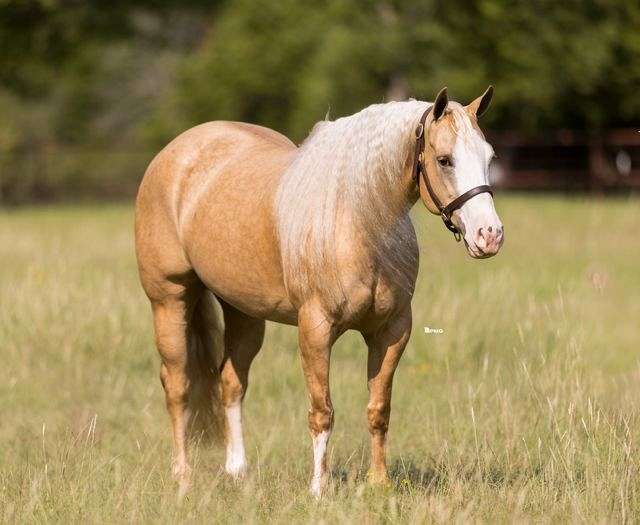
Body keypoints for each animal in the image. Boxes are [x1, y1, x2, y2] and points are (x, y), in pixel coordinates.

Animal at [134, 86, 504, 497]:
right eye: (444, 160)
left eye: (489, 157)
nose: (489, 235)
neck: (357, 221)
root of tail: (177, 151)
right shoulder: (316, 329)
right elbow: (322, 411)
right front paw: (317, 490)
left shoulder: (391, 331)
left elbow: (379, 409)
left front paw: (380, 484)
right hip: (169, 300)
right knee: (177, 385)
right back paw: (182, 476)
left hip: (243, 312)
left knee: (230, 382)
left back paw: (237, 471)